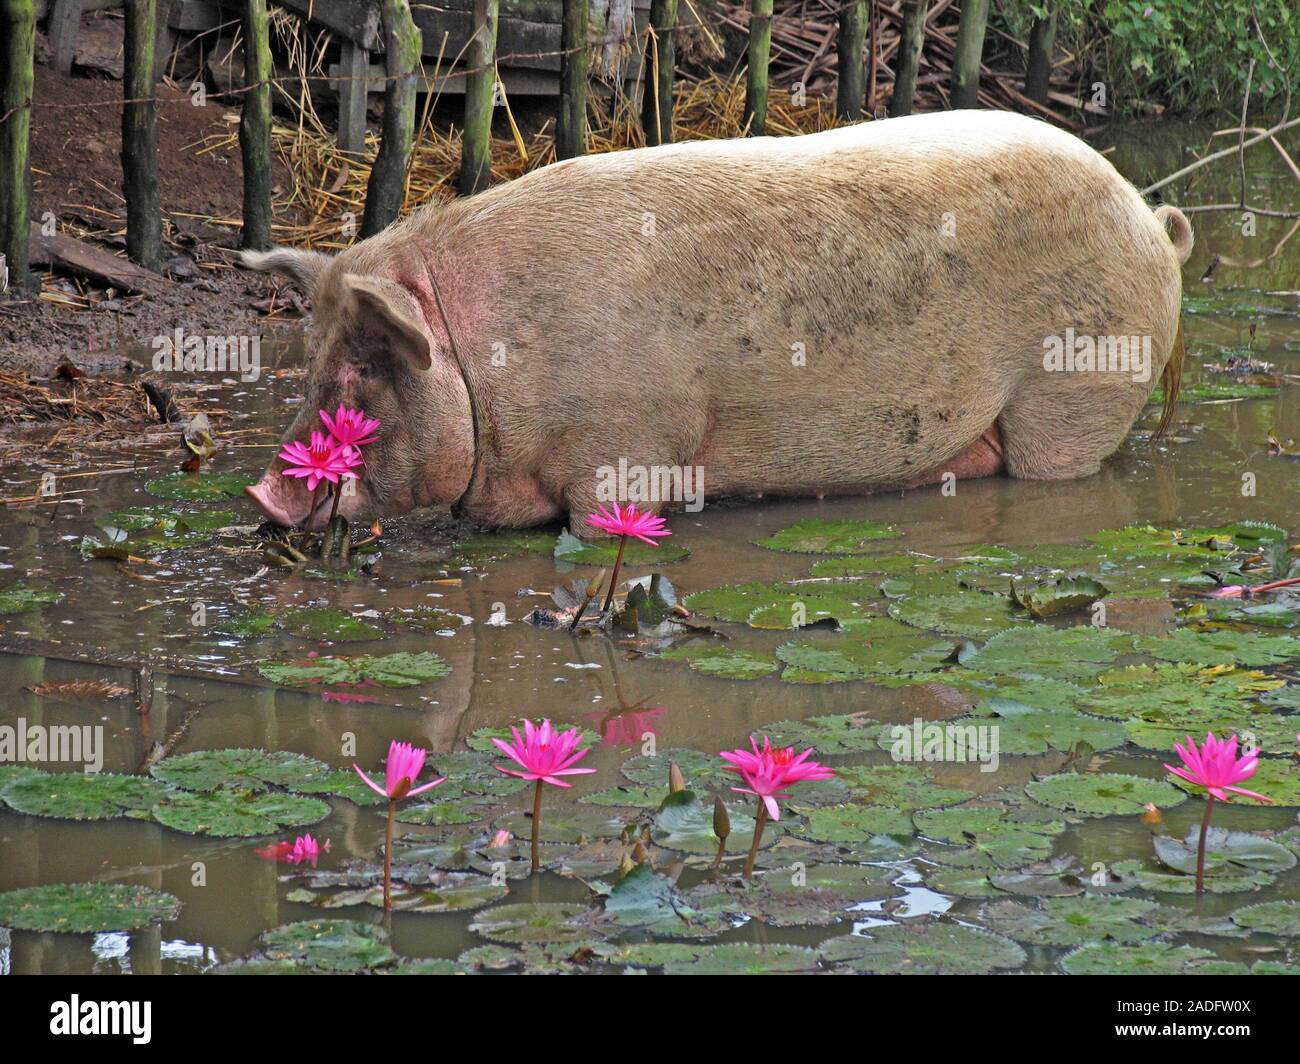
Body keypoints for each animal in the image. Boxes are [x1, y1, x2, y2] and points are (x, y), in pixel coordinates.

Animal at [243, 109, 1191, 536]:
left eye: (367, 364)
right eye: (316, 357)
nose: (261, 490)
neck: (490, 353)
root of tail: (1152, 219)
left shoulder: (625, 448)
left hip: (1076, 394)